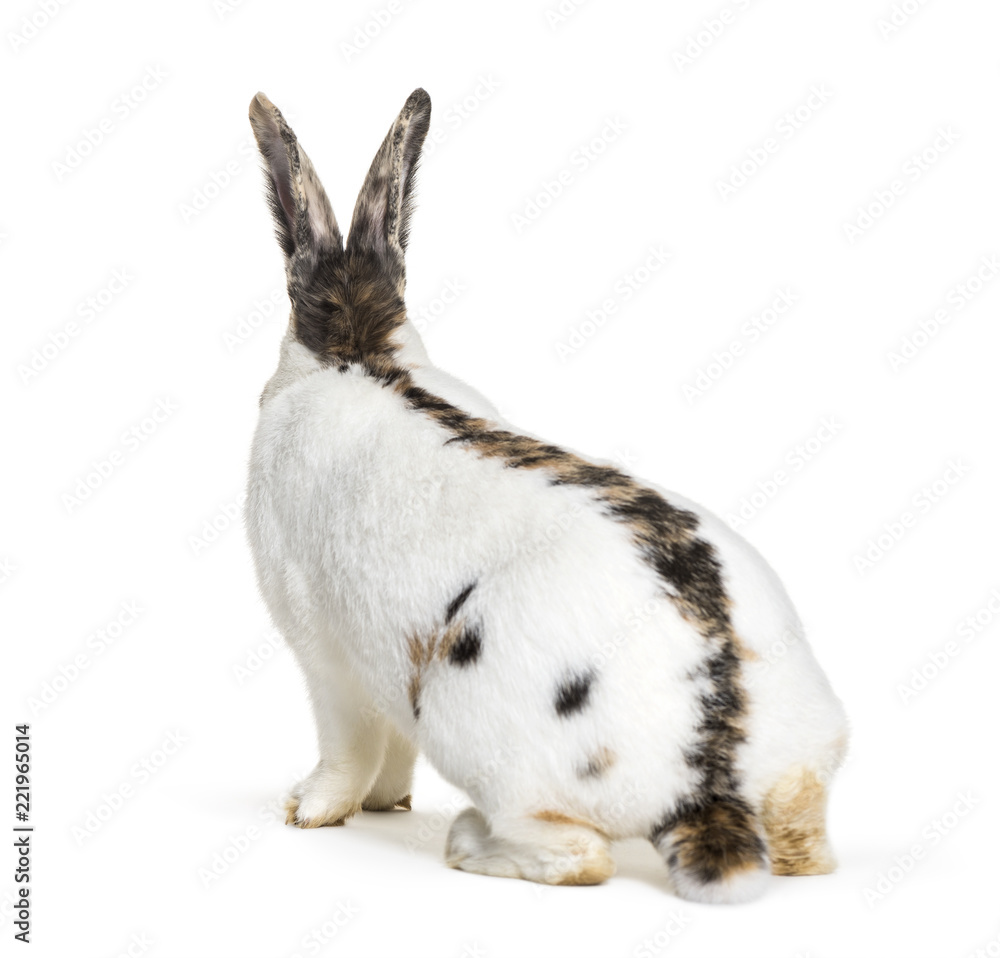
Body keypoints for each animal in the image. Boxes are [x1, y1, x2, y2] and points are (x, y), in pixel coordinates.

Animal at [244, 87, 848, 905]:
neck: (358, 350)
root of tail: (711, 773)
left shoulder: (324, 651)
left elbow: (348, 744)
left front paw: (309, 811)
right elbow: (392, 749)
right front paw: (388, 804)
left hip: (487, 744)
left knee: (577, 856)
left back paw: (467, 843)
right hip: (805, 761)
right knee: (806, 841)